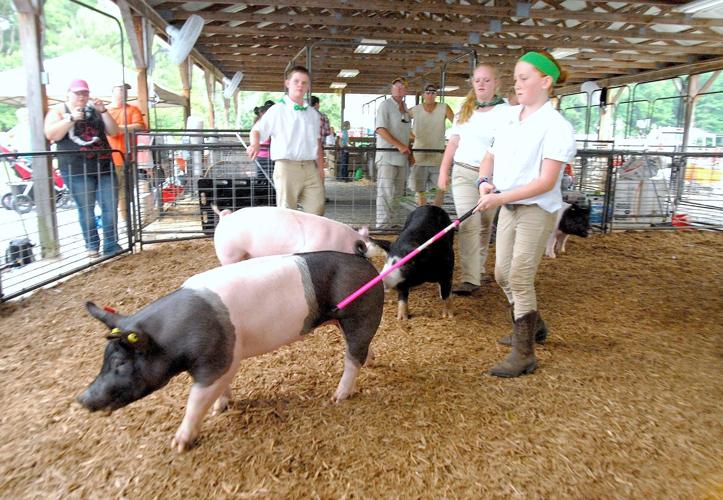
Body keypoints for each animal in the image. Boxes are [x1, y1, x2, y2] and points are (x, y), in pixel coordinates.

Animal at [77, 250, 384, 452]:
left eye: (119, 362)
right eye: (104, 359)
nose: (82, 398)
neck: (174, 336)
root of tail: (366, 264)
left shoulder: (217, 359)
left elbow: (195, 402)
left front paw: (179, 444)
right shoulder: (227, 359)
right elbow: (221, 388)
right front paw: (220, 408)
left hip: (360, 314)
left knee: (353, 357)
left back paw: (337, 397)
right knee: (362, 350)